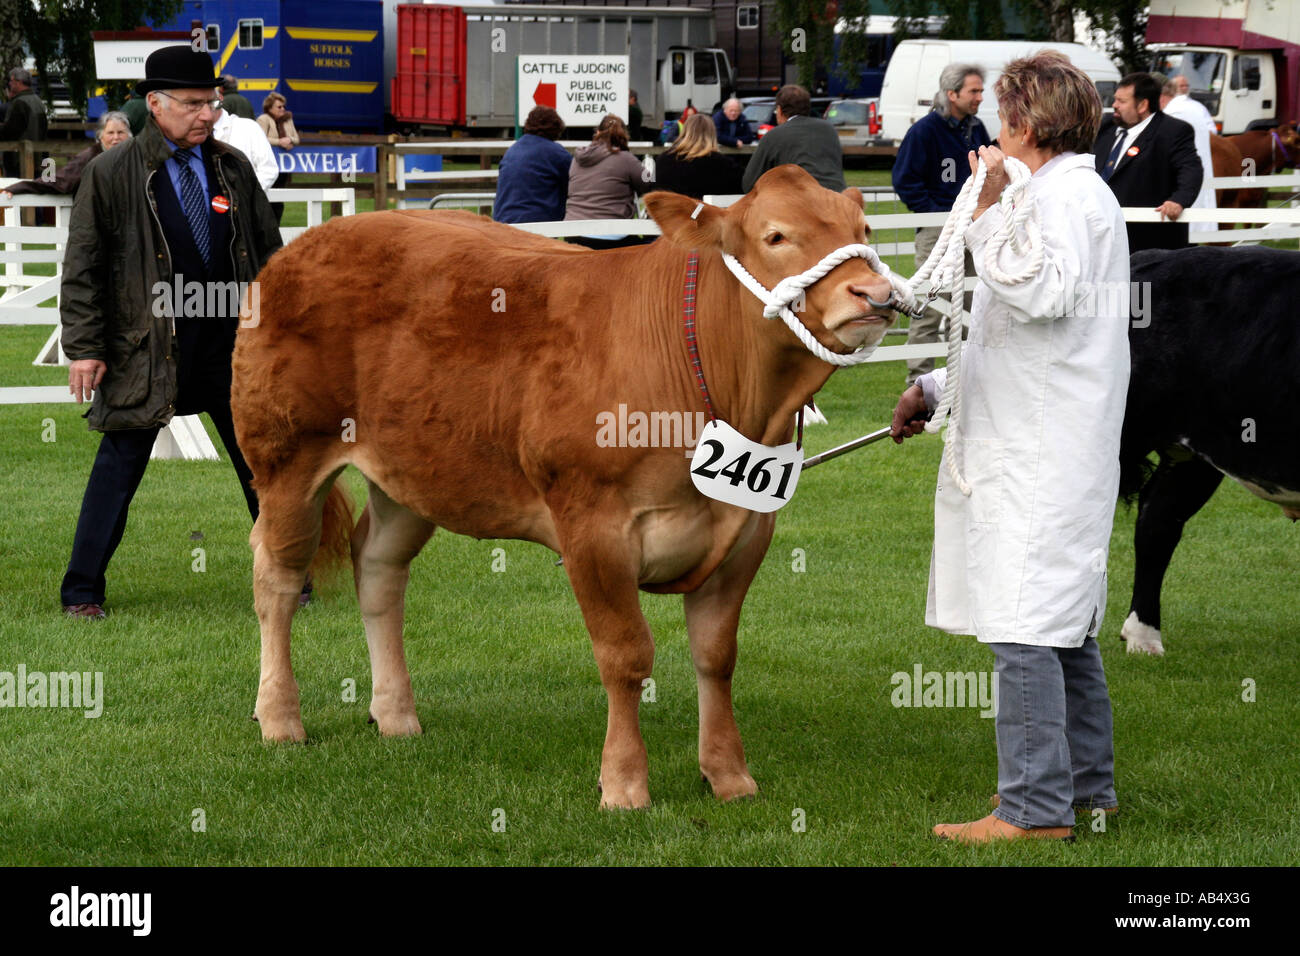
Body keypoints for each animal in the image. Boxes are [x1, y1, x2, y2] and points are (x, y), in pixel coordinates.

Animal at [230, 165, 897, 808]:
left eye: (862, 229)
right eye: (776, 236)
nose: (876, 294)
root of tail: (309, 242)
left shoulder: (748, 529)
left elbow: (716, 657)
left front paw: (729, 776)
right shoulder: (593, 527)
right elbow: (625, 656)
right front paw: (623, 784)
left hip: (409, 473)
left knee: (377, 567)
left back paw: (395, 714)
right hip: (287, 457)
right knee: (277, 579)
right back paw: (279, 718)